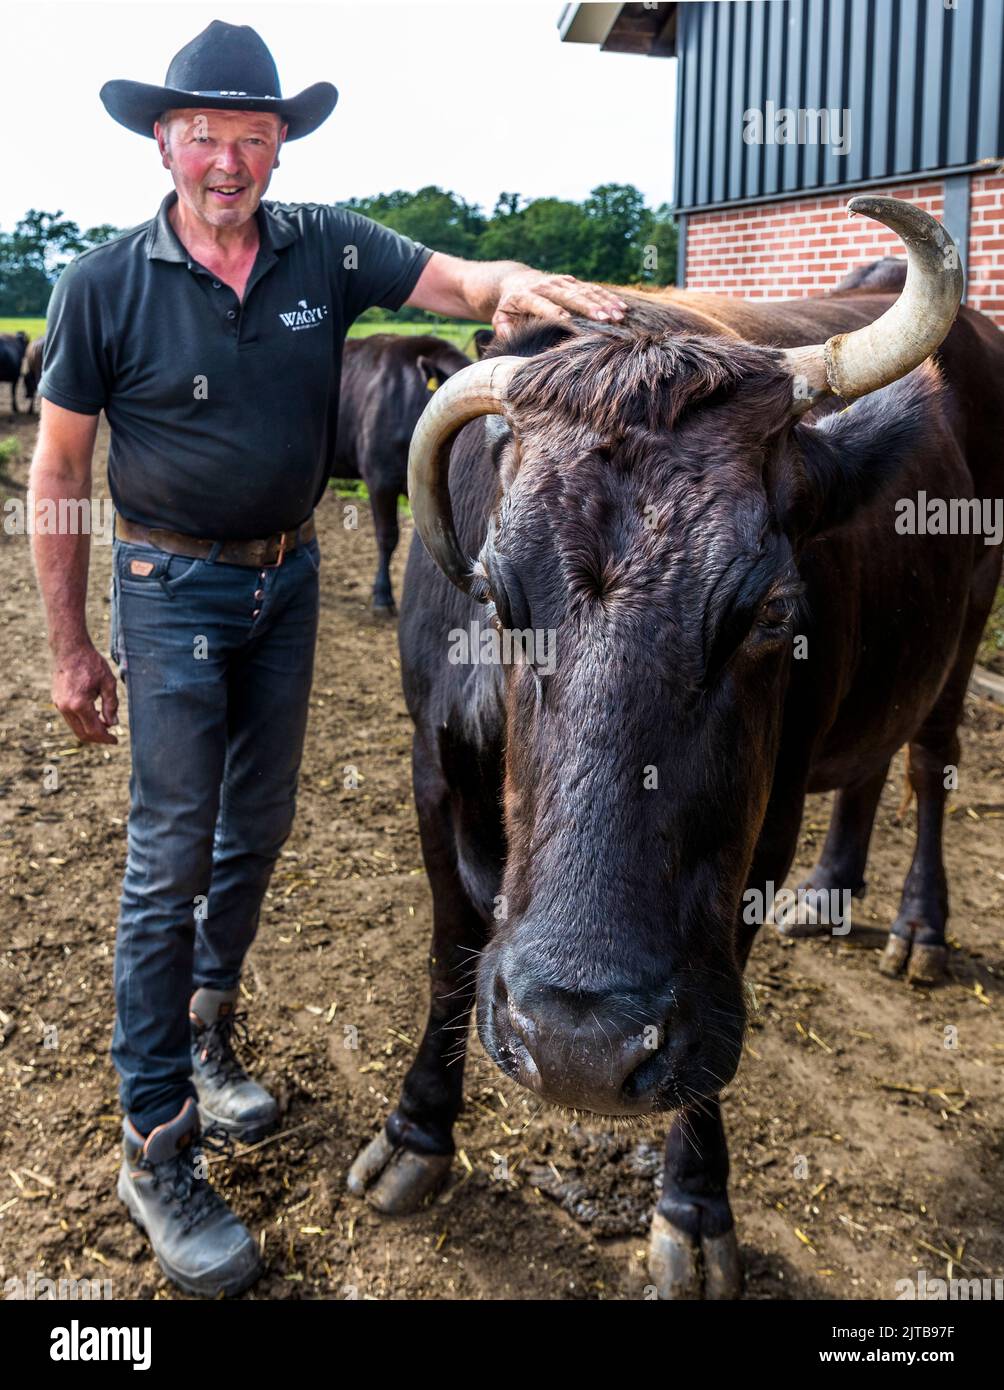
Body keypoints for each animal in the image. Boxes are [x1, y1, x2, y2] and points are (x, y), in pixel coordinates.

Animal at [346, 201, 1001, 1295]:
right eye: (498, 596)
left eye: (770, 609)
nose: (578, 1043)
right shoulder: (431, 764)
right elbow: (448, 947)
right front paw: (415, 1132)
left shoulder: (764, 815)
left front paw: (694, 1210)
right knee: (870, 764)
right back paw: (831, 890)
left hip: (969, 622)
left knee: (925, 760)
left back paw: (918, 926)